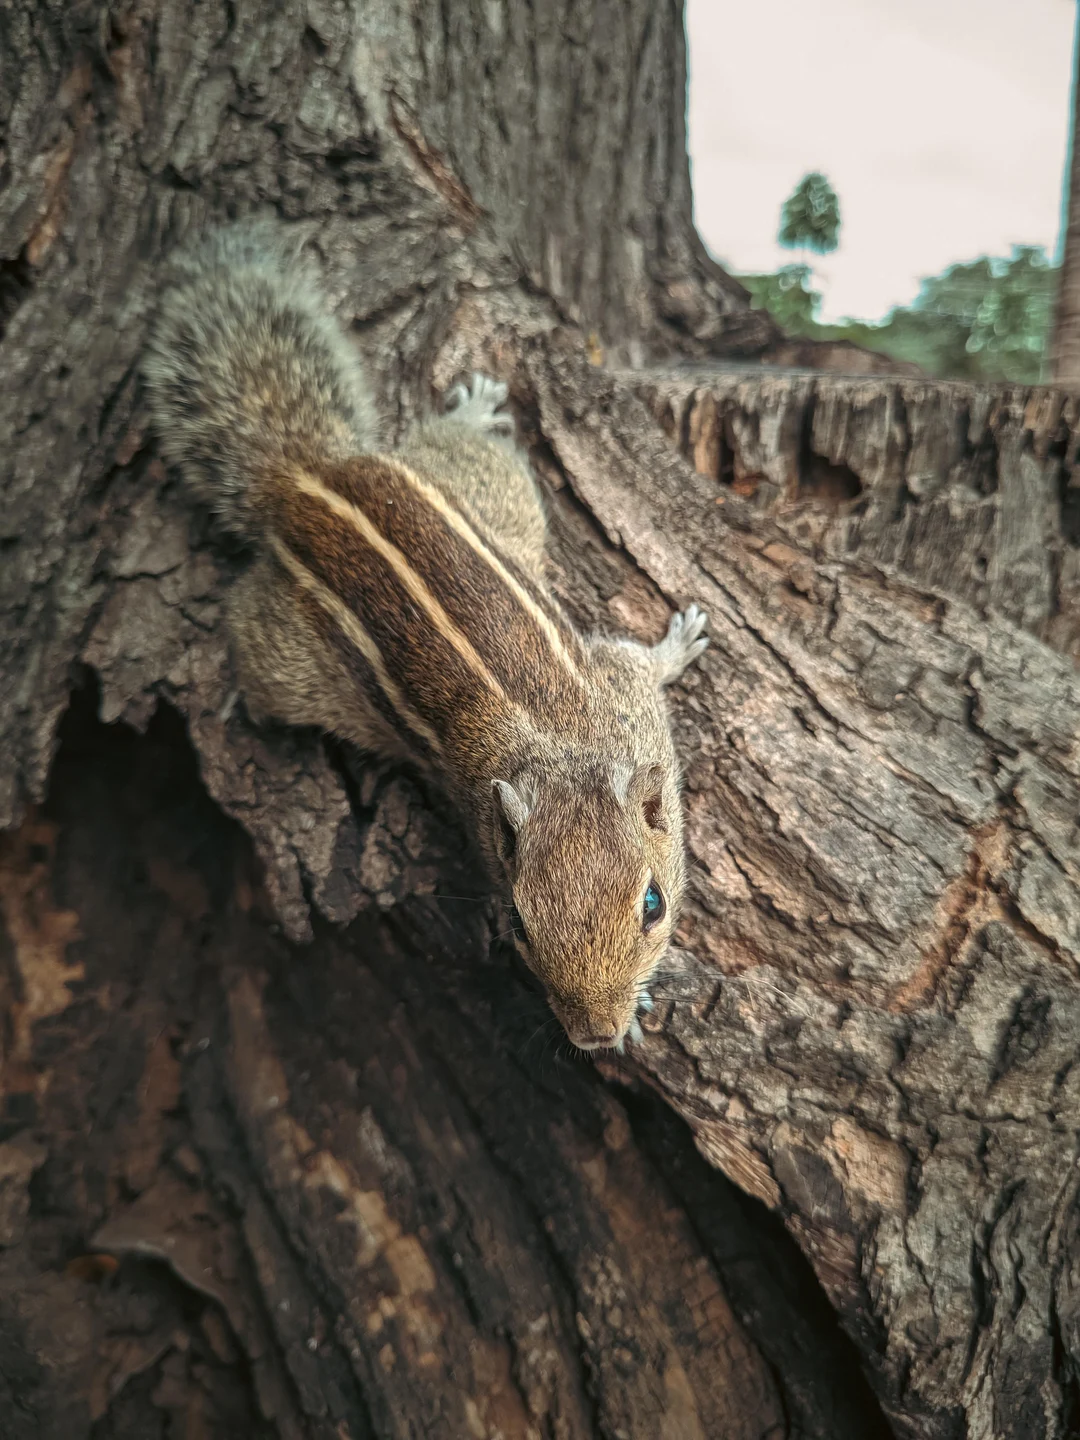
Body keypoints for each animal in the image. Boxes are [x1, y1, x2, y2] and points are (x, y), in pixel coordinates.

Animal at [142, 220, 708, 1053]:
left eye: (653, 904)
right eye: (519, 925)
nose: (594, 1036)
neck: (563, 760)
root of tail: (306, 482)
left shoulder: (625, 694)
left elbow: (638, 659)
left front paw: (679, 642)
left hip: (485, 482)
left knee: (456, 444)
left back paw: (471, 412)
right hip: (290, 656)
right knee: (251, 652)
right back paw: (241, 702)